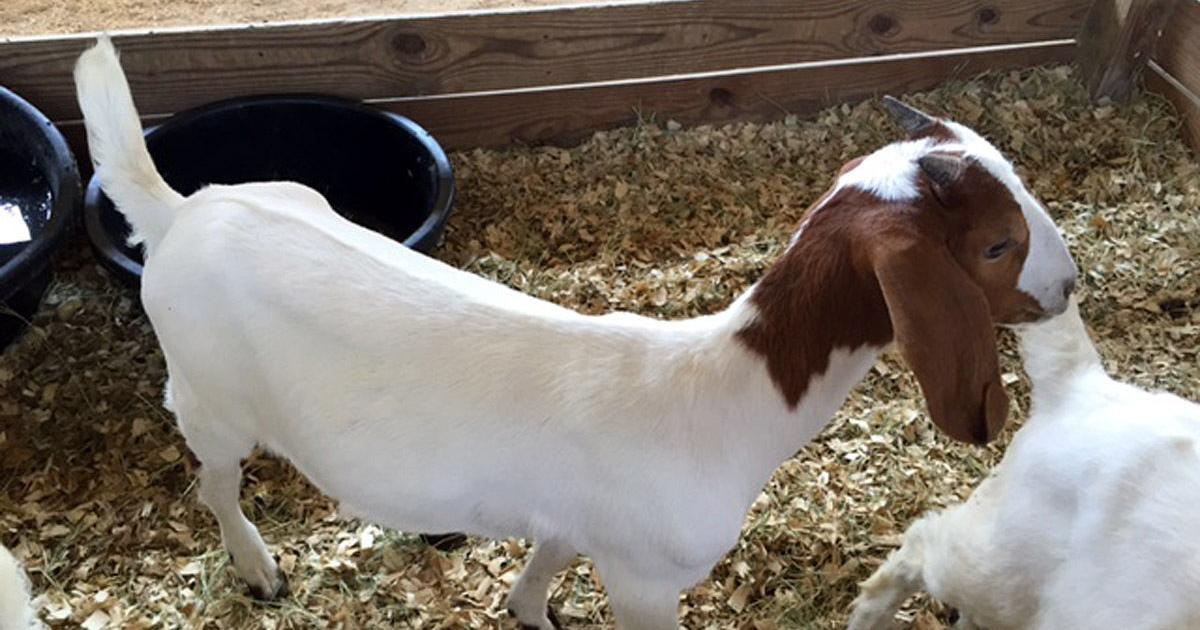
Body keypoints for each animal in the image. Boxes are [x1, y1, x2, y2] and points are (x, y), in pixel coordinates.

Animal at [75, 36, 1076, 629]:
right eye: (997, 244)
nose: (1068, 285)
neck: (730, 391)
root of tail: (178, 212)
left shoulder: (573, 522)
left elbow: (539, 569)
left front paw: (529, 611)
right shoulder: (645, 579)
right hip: (209, 396)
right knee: (213, 480)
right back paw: (258, 568)